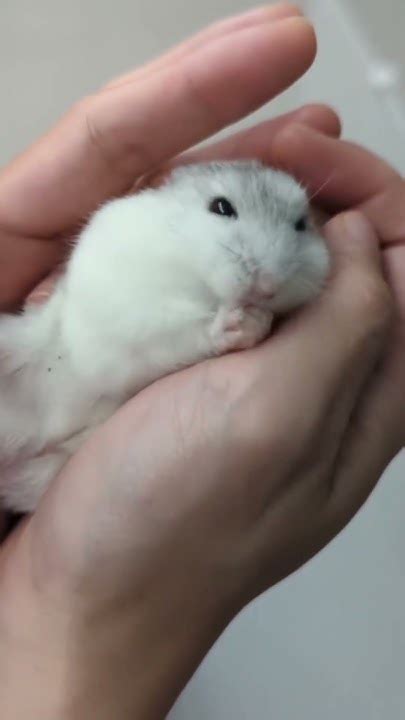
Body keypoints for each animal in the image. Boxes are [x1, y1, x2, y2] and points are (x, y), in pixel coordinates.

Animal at [0, 160, 330, 512]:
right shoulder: (134, 309)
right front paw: (242, 320)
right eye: (221, 207)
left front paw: (254, 321)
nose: (267, 287)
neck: (198, 284)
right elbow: (169, 330)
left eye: (301, 225)